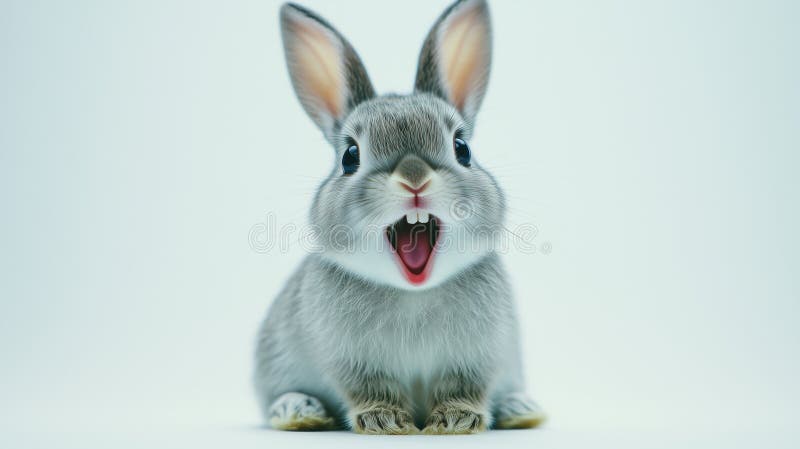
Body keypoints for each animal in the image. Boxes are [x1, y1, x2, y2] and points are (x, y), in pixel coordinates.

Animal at [254, 0, 545, 434]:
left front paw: (455, 421)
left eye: (462, 148)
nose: (414, 179)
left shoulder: (477, 357)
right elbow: (371, 390)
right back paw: (298, 412)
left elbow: (463, 387)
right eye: (350, 156)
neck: (414, 293)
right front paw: (388, 422)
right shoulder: (354, 362)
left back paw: (520, 409)